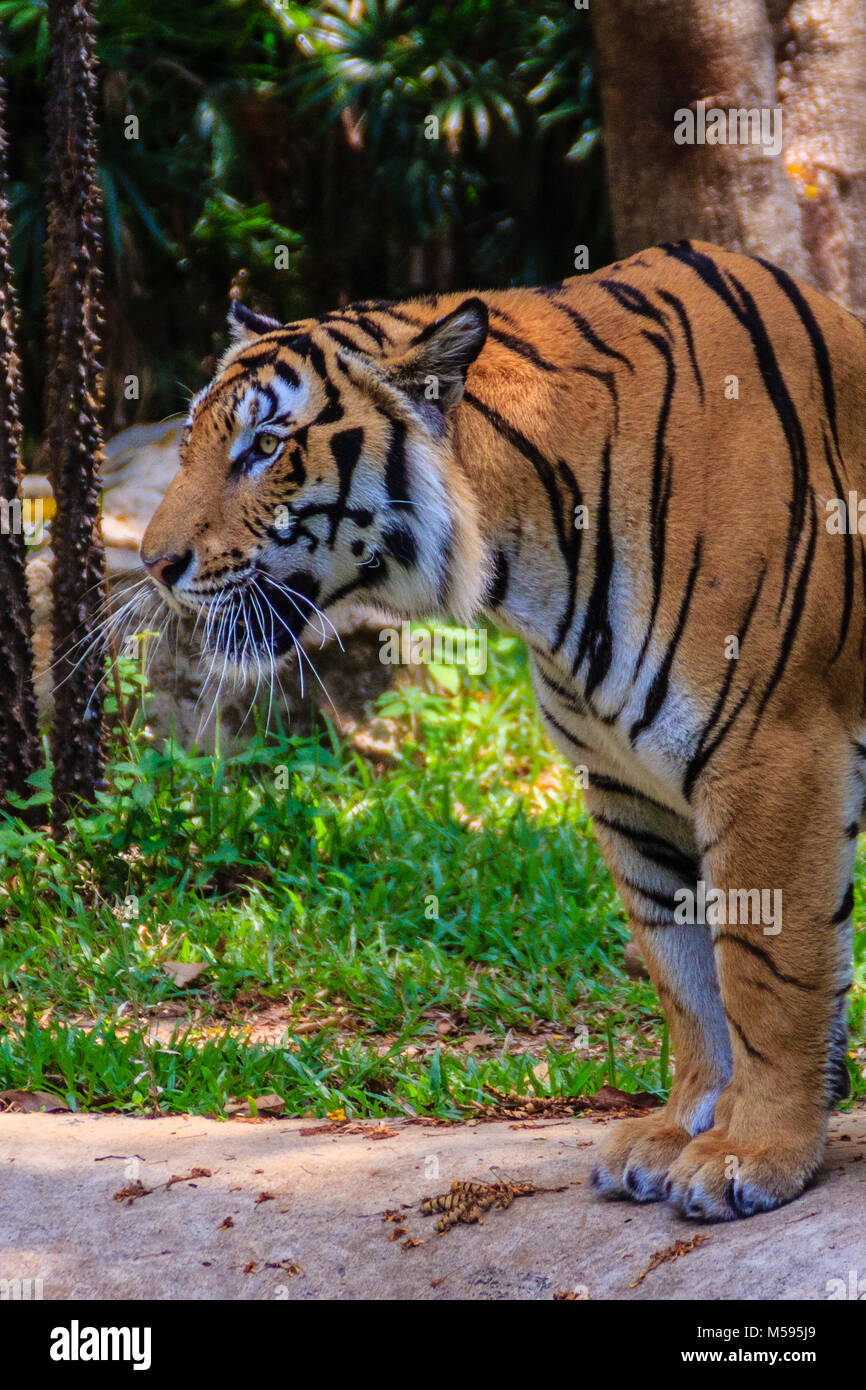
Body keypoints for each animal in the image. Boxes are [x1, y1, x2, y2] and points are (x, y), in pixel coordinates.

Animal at [140, 239, 866, 1222]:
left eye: (265, 447)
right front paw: (678, 1129)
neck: (532, 565)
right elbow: (685, 973)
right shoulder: (629, 783)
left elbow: (765, 969)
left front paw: (753, 1153)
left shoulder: (770, 755)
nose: (153, 564)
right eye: (187, 445)